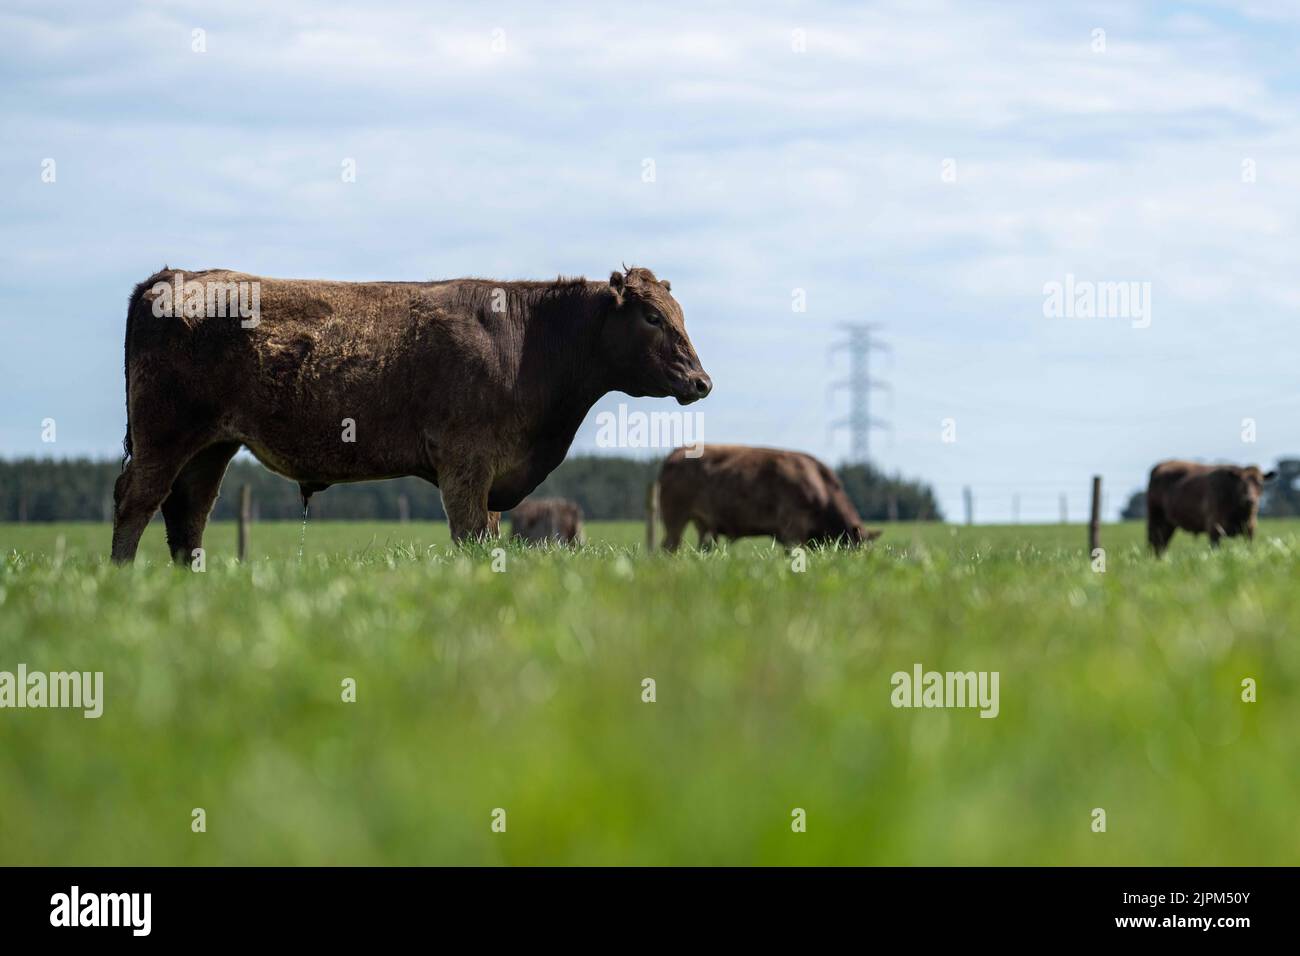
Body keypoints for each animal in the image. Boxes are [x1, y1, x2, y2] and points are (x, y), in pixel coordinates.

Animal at [111, 265, 709, 563]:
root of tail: (177, 274)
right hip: (165, 435)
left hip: (211, 447)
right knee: (136, 502)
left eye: (679, 313)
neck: (526, 342)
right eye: (653, 317)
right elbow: (470, 535)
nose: (701, 381)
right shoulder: (466, 463)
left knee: (188, 515)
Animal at [1146, 460, 1277, 555]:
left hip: (1168, 524)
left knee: (1161, 544)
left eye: (1260, 483)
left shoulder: (1250, 529)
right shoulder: (1214, 528)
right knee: (1154, 542)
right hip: (1155, 519)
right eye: (1241, 483)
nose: (1249, 500)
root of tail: (1159, 466)